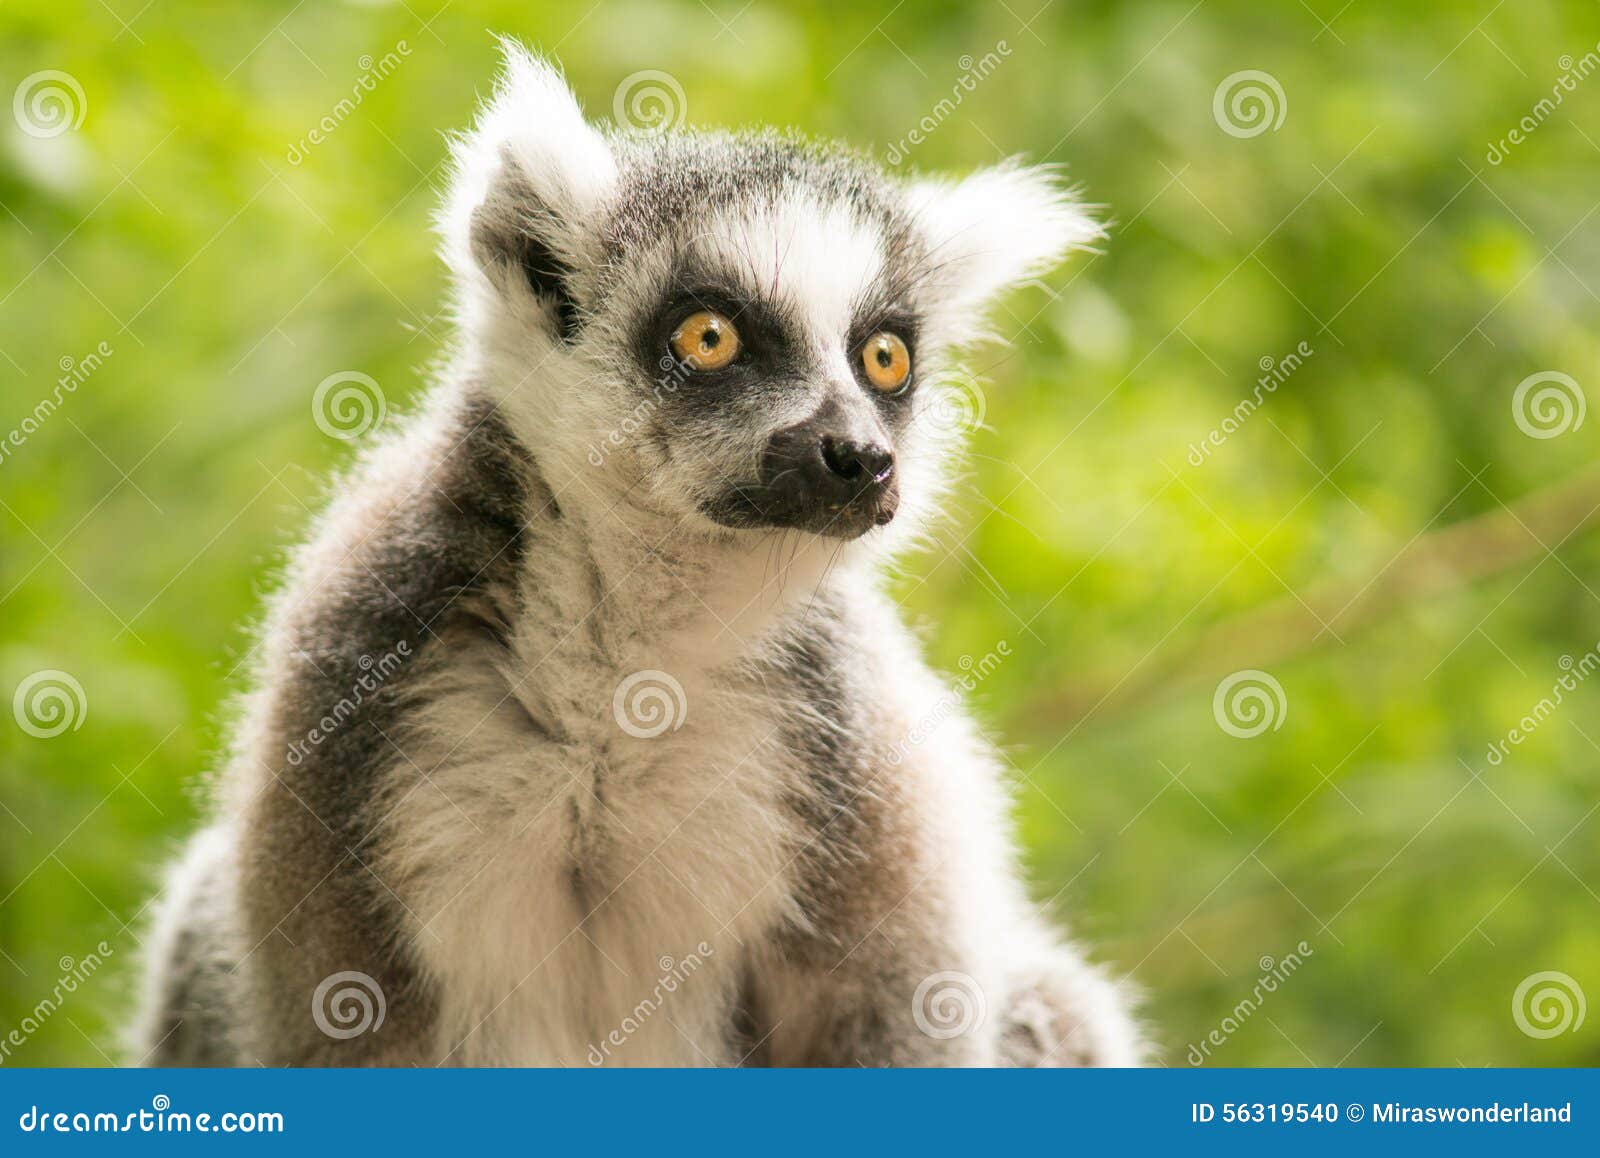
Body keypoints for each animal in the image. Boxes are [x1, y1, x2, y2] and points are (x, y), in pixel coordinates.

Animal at [133, 43, 1144, 1067]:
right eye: (709, 337)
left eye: (885, 358)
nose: (861, 457)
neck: (628, 669)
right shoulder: (358, 700)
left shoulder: (855, 758)